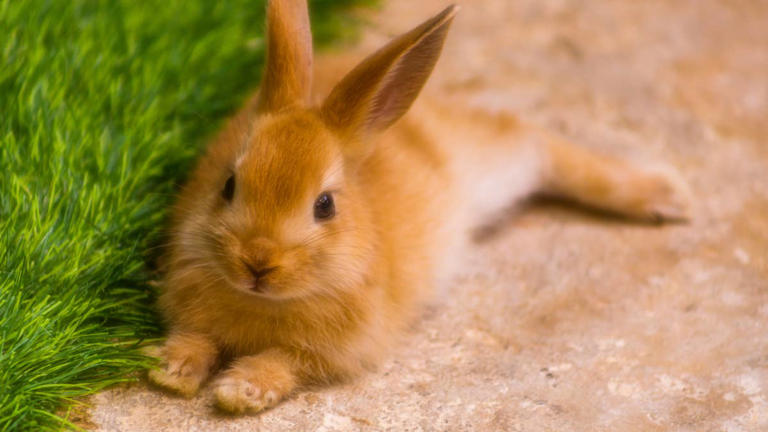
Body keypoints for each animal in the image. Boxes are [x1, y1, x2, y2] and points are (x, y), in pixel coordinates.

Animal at [146, 0, 690, 414]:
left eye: (324, 206)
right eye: (228, 185)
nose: (257, 262)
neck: (265, 300)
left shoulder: (335, 348)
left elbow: (282, 361)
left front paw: (240, 391)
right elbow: (196, 338)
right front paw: (170, 371)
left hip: (490, 167)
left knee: (536, 142)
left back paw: (666, 197)